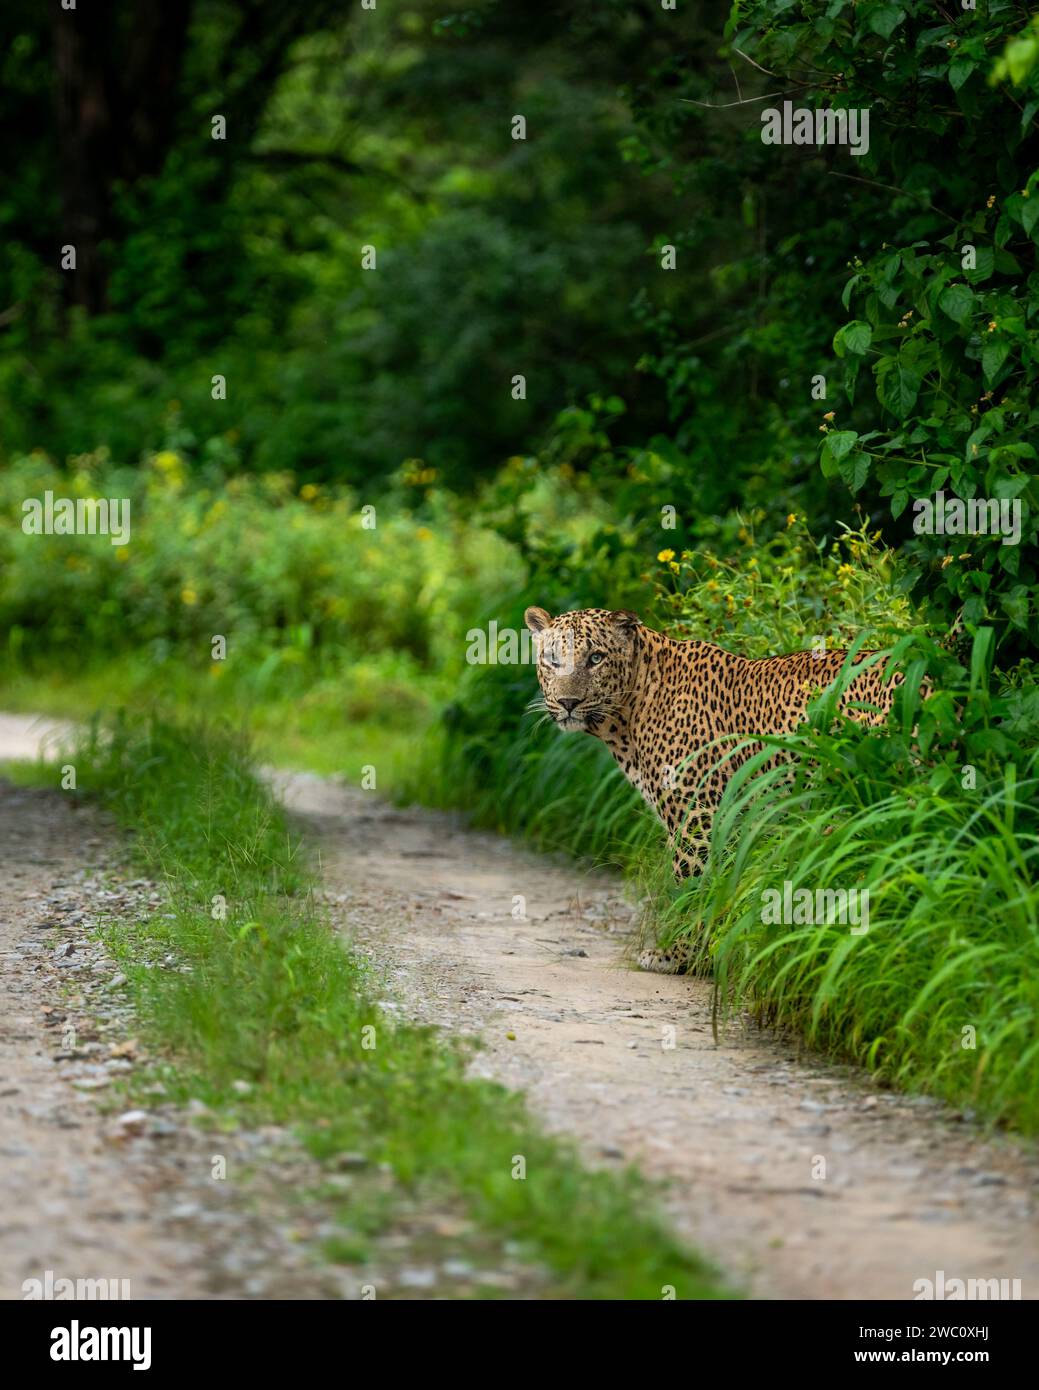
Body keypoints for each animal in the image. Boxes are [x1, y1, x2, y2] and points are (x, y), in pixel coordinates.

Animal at [524, 605, 911, 972]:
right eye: (552, 659)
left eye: (595, 658)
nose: (568, 703)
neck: (627, 718)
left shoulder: (697, 817)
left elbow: (693, 889)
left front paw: (679, 956)